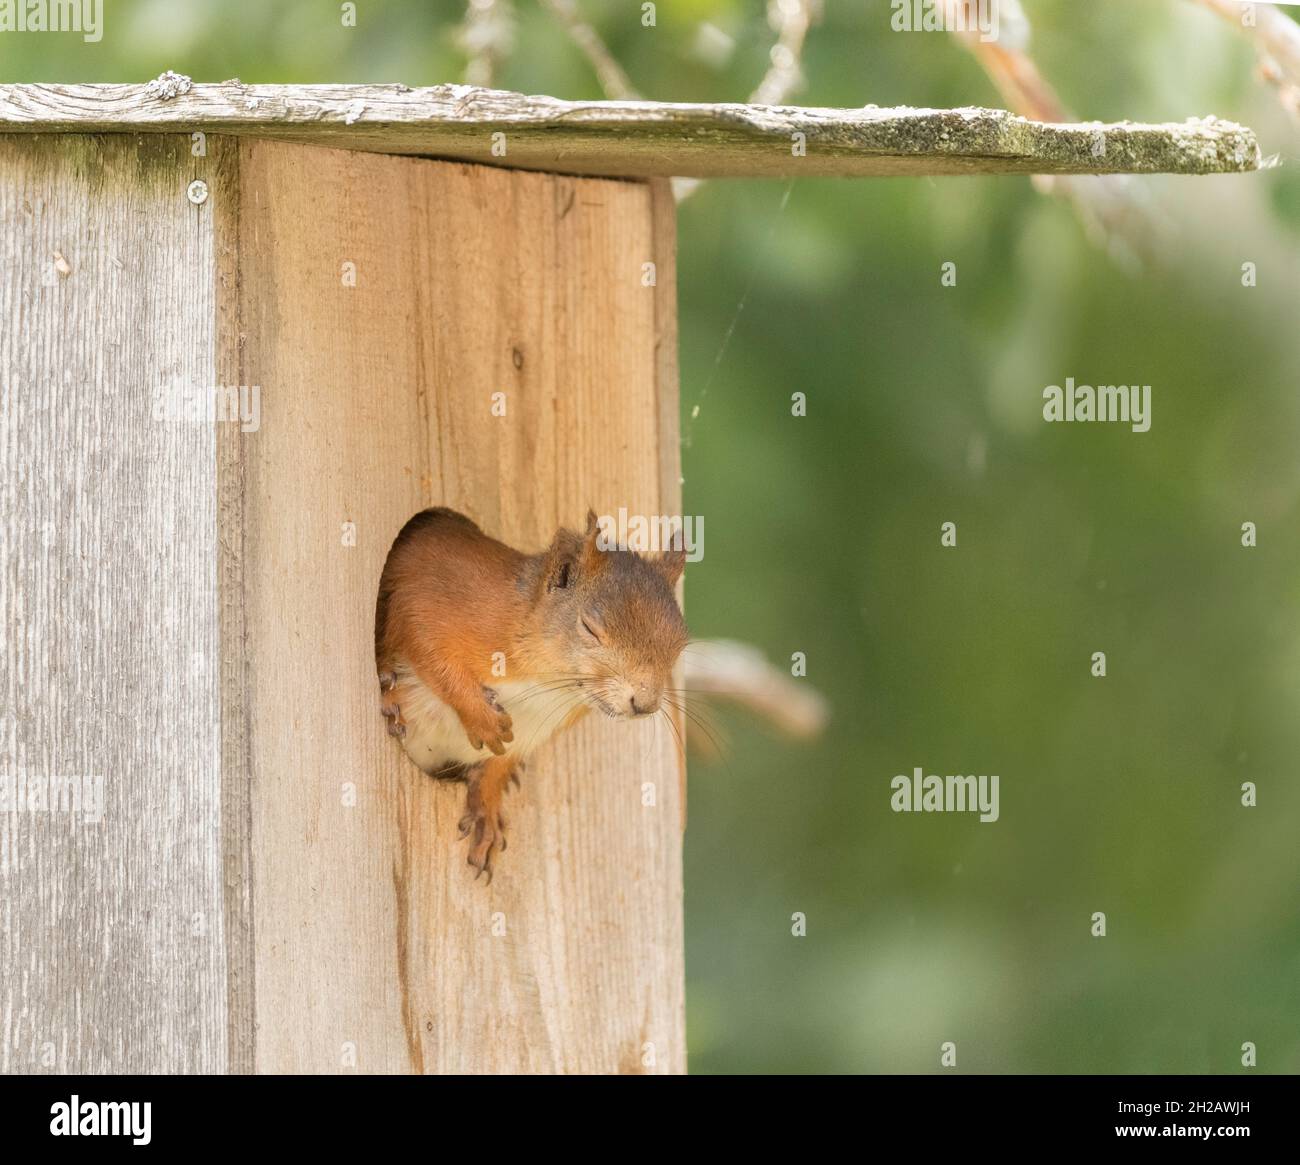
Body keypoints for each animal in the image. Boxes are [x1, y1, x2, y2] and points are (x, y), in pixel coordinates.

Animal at [374, 507, 688, 879]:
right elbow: (426, 645)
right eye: (589, 628)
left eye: (680, 643)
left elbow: (499, 764)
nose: (645, 703)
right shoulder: (431, 598)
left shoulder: (532, 732)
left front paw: (487, 810)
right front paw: (482, 718)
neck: (544, 686)